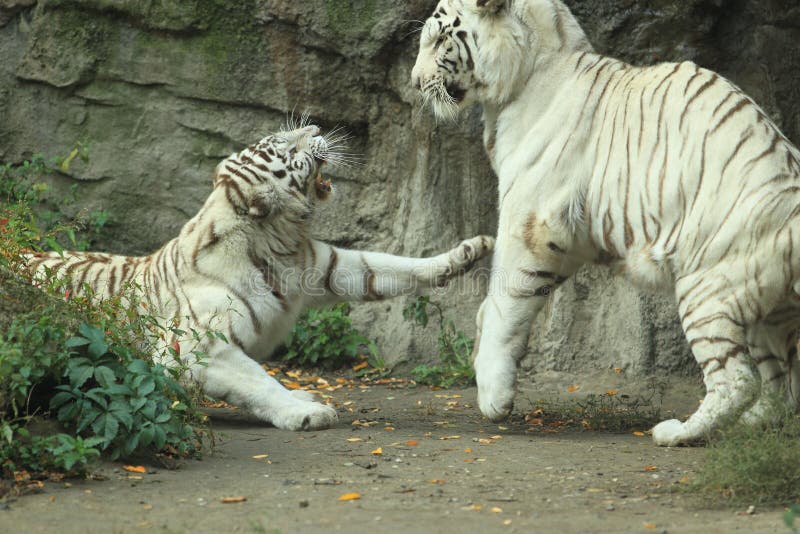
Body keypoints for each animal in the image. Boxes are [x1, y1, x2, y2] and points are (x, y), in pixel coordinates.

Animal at [26, 124, 494, 431]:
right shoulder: (199, 347)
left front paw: (468, 253)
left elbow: (387, 267)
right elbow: (258, 381)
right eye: (289, 146)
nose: (317, 124)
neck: (280, 237)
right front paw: (307, 414)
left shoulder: (322, 266)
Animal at [412, 0, 800, 446]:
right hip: (764, 307)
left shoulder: (532, 223)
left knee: (736, 380)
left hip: (708, 286)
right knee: (783, 384)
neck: (532, 67)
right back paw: (754, 424)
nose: (415, 82)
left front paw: (493, 396)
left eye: (440, 39)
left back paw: (678, 432)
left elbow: (504, 300)